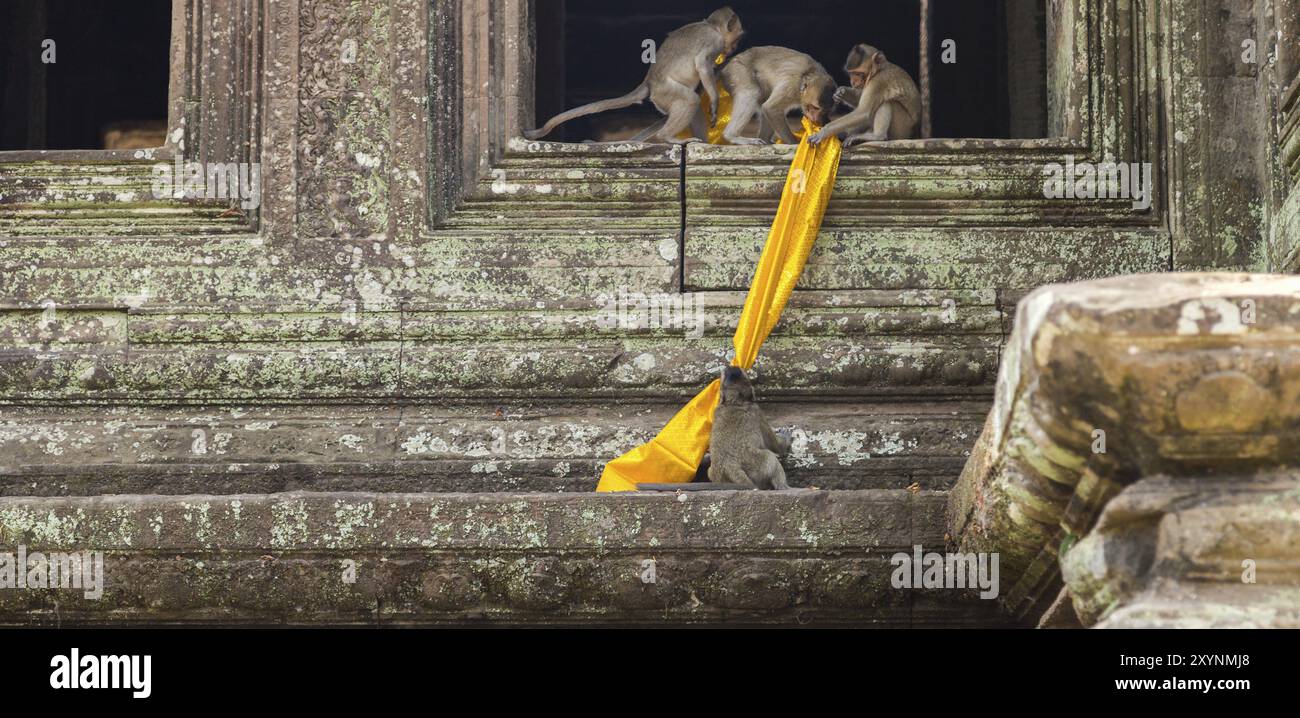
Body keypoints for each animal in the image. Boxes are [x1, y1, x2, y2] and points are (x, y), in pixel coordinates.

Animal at [522, 7, 745, 144]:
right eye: (736, 37)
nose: (734, 48)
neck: (711, 26)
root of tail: (649, 81)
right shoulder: (714, 42)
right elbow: (702, 65)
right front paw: (715, 100)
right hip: (664, 92)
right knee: (690, 99)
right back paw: (667, 137)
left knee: (693, 101)